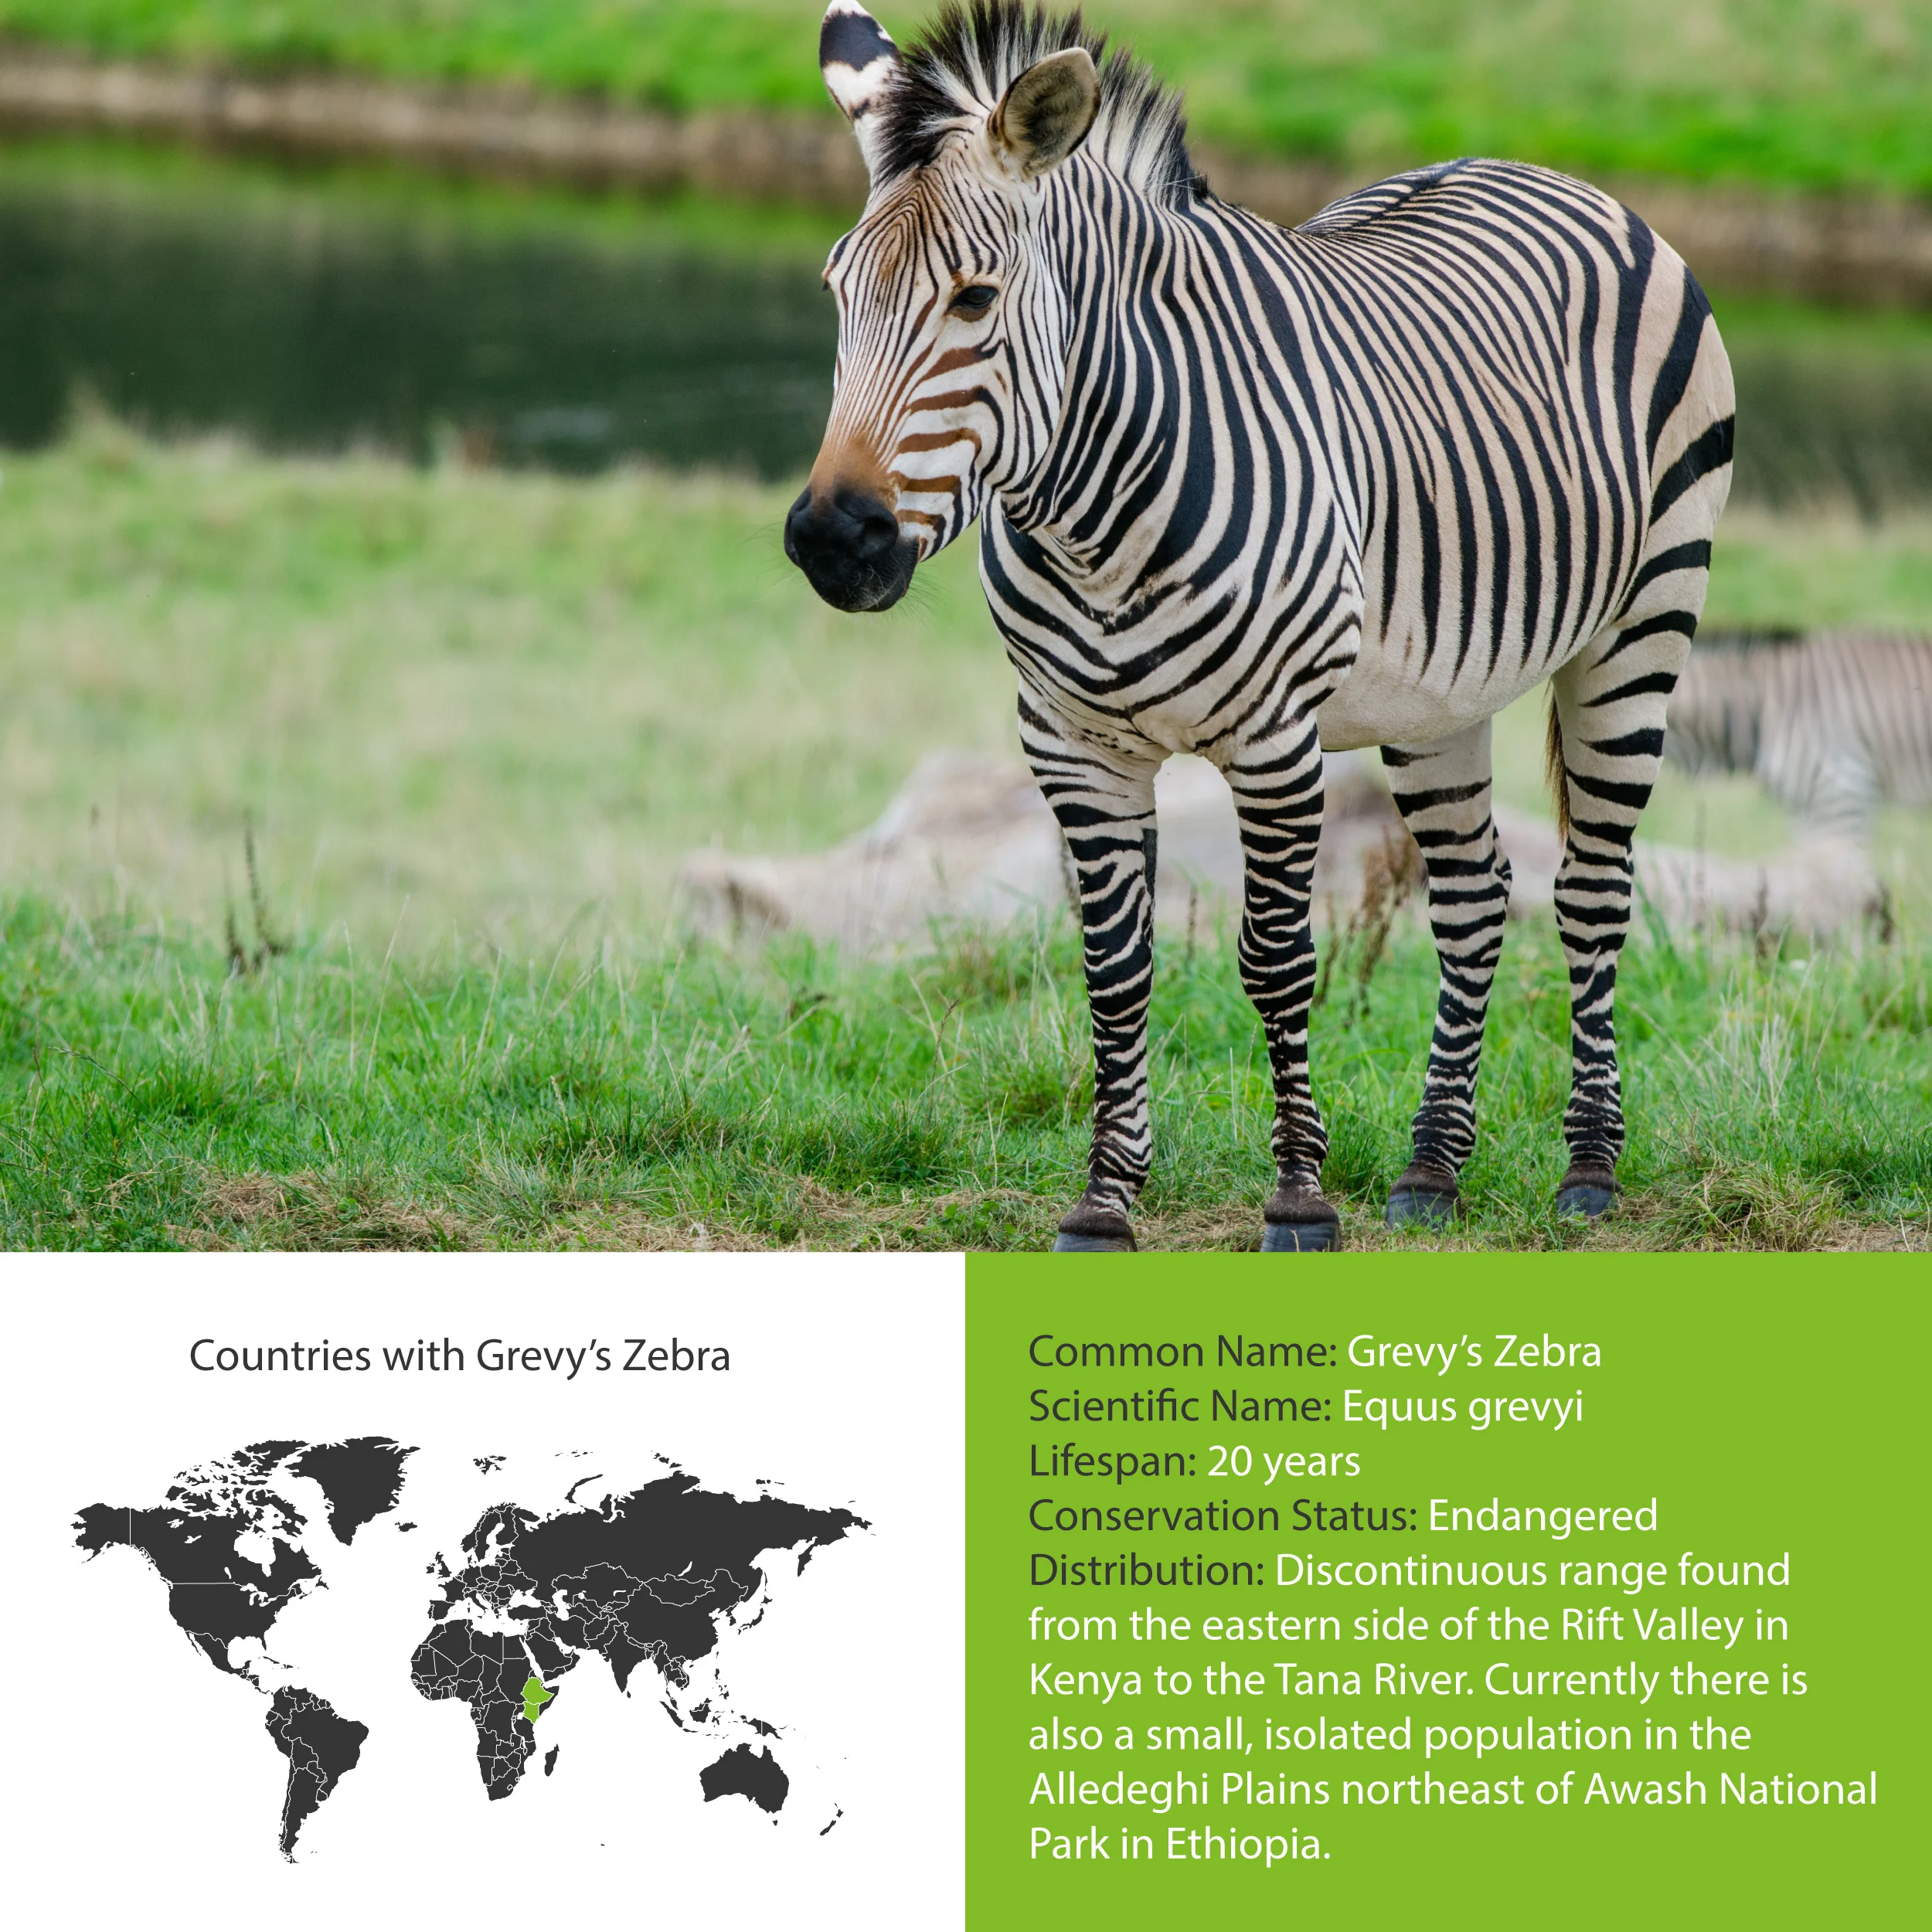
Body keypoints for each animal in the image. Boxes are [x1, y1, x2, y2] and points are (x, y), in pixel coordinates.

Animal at [786, 1, 1736, 1250]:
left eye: (974, 300)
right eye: (837, 294)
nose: (830, 539)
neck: (1093, 517)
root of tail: (1551, 172)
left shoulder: (1277, 743)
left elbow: (1275, 960)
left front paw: (1297, 1199)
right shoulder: (1073, 748)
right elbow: (1116, 968)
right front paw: (1106, 1201)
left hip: (1643, 627)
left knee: (1591, 890)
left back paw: (1588, 1168)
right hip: (1440, 692)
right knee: (1475, 894)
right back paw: (1432, 1172)